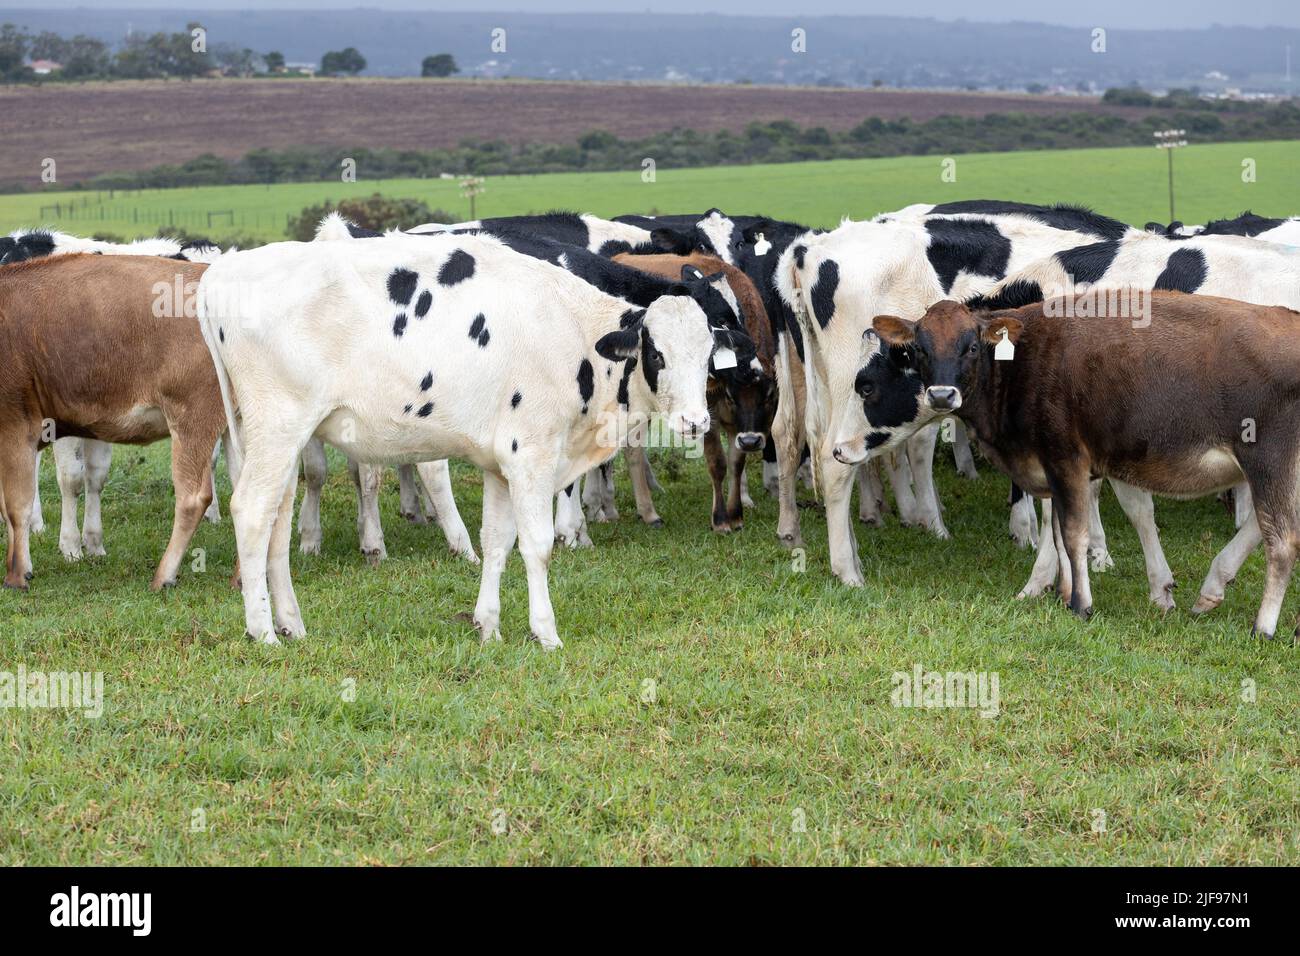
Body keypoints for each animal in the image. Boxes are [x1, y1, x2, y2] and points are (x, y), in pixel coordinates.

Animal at [0, 254, 228, 591]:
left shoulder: (15, 426)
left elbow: (18, 507)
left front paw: (17, 575)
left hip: (192, 416)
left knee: (193, 498)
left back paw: (164, 576)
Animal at [198, 233, 730, 648]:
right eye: (656, 353)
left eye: (707, 353)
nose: (695, 421)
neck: (569, 328)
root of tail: (224, 270)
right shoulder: (531, 457)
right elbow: (537, 545)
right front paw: (545, 632)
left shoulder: (500, 464)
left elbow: (496, 542)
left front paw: (488, 626)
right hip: (279, 427)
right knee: (252, 511)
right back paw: (262, 631)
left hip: (280, 440)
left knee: (277, 521)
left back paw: (291, 622)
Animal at [875, 293, 1300, 637]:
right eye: (919, 349)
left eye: (973, 347)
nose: (941, 395)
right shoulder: (1051, 466)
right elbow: (1057, 532)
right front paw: (1061, 593)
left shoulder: (1066, 458)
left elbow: (1074, 532)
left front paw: (1081, 604)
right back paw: (1214, 589)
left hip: (1269, 459)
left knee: (1282, 541)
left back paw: (1263, 627)